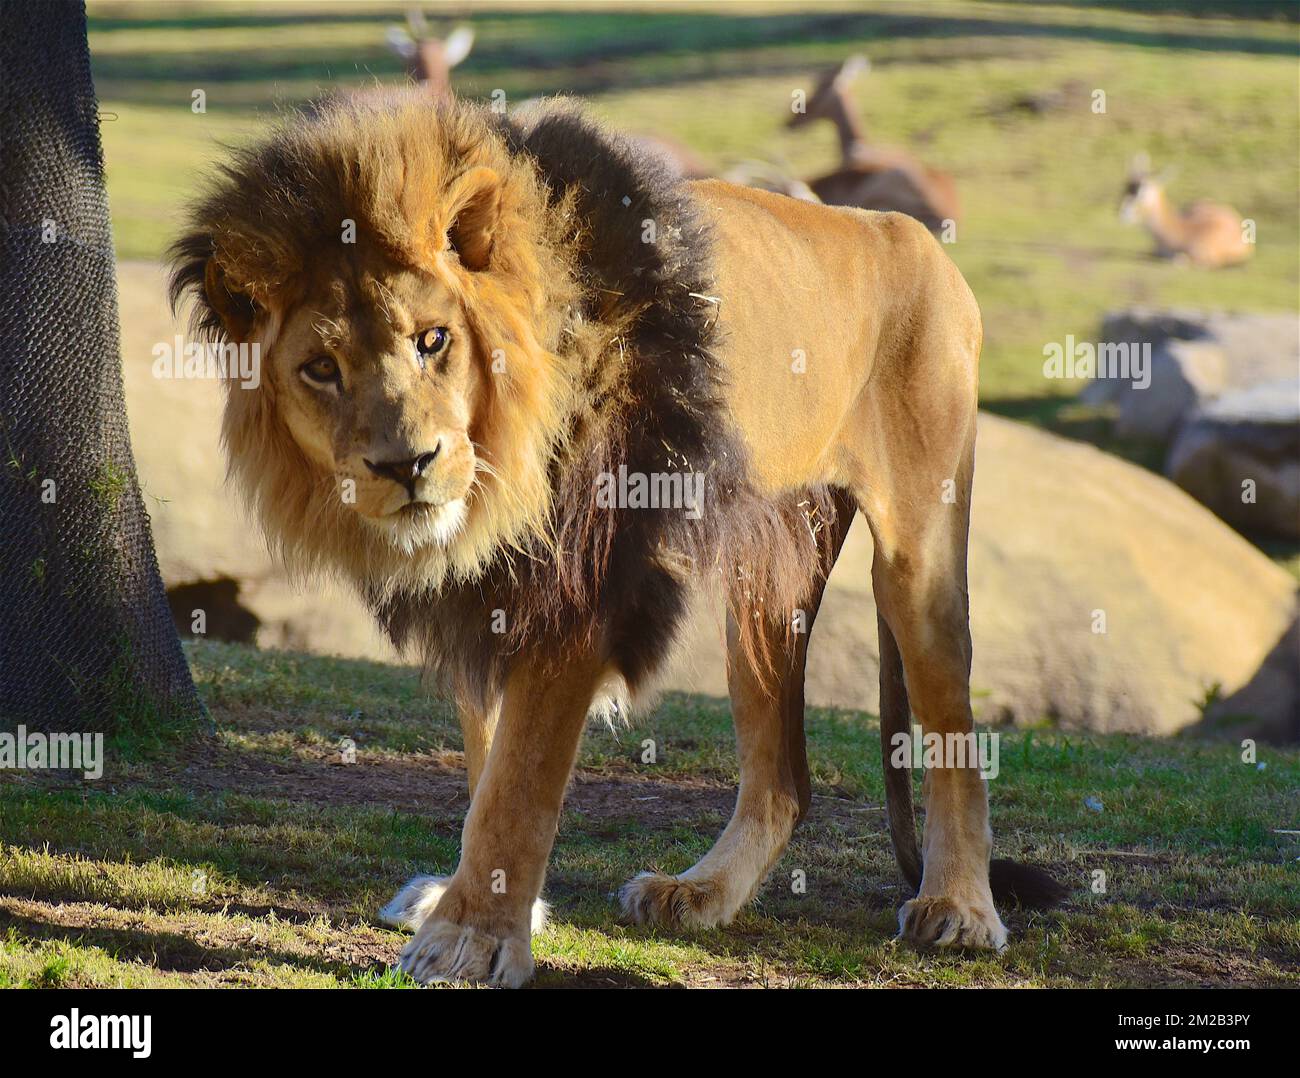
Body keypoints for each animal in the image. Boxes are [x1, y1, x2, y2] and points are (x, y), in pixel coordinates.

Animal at [170, 91, 1061, 987]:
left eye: (433, 340)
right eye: (320, 369)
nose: (407, 464)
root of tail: (904, 232)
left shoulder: (586, 582)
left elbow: (521, 780)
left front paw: (471, 939)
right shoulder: (485, 590)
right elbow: (487, 756)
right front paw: (491, 905)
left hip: (918, 545)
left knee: (951, 724)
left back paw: (958, 908)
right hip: (769, 571)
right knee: (782, 779)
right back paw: (699, 893)